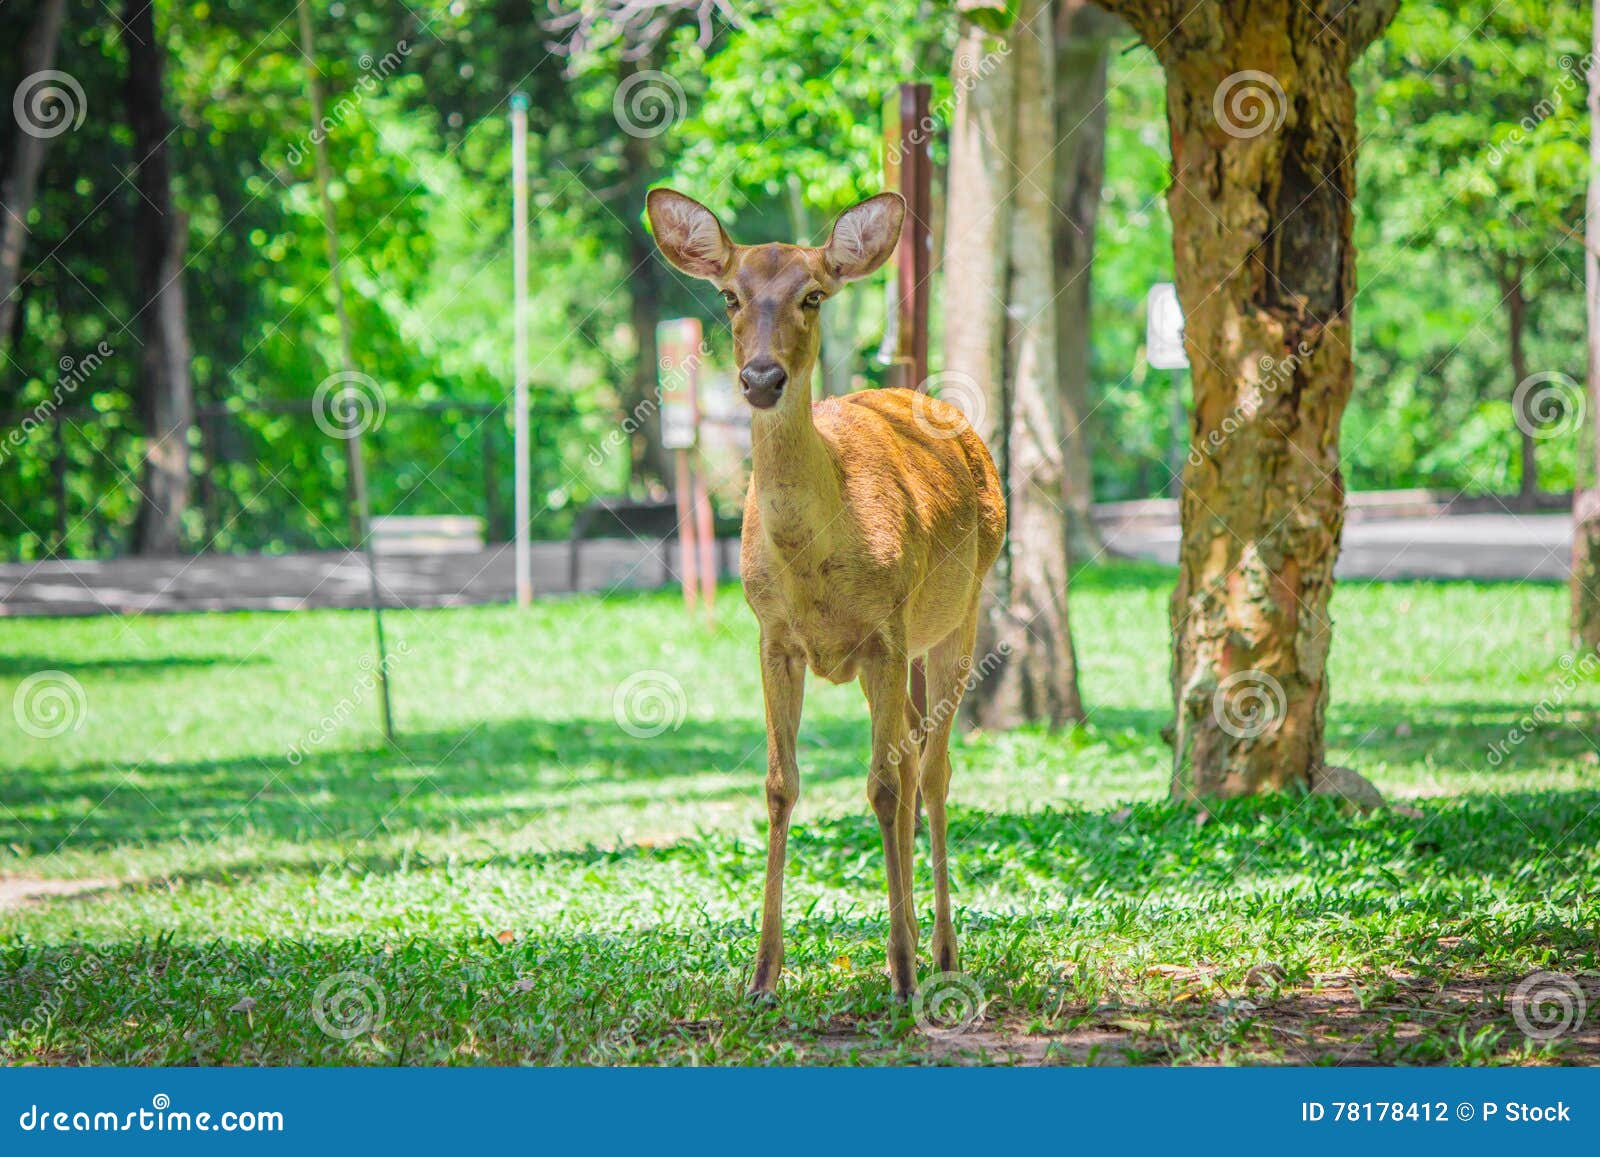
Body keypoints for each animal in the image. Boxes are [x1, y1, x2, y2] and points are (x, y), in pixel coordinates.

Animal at [645, 188, 1006, 1001]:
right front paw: (761, 975)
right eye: (729, 295)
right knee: (914, 753)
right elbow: (781, 784)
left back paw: (941, 950)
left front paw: (901, 974)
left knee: (931, 770)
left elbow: (884, 783)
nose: (761, 378)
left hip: (961, 613)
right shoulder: (772, 635)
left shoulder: (886, 632)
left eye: (813, 295)